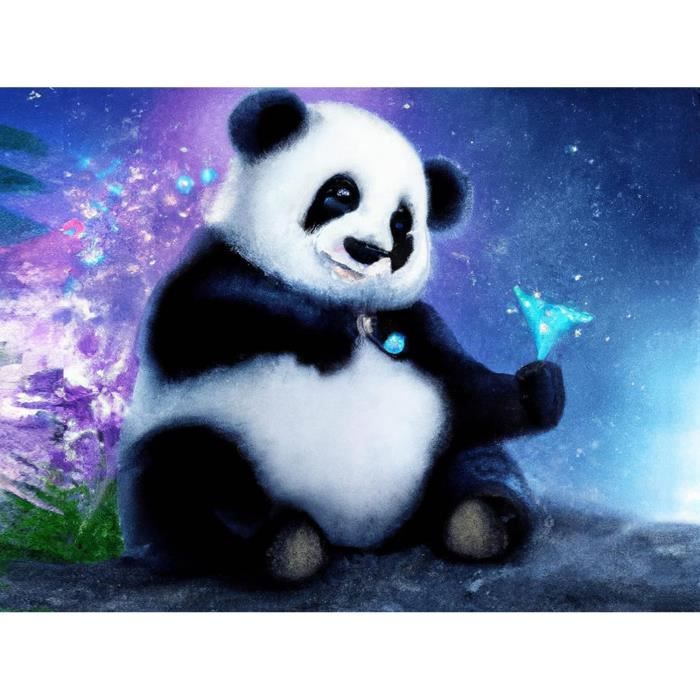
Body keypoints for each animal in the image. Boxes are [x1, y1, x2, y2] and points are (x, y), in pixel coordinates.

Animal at [118, 89, 565, 584]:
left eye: (402, 222)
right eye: (341, 194)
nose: (367, 250)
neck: (339, 296)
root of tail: (355, 537)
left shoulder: (420, 325)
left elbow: (468, 388)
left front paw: (537, 387)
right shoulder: (206, 272)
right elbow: (198, 321)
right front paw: (325, 332)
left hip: (437, 455)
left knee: (478, 462)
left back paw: (483, 521)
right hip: (207, 436)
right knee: (189, 476)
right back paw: (284, 547)